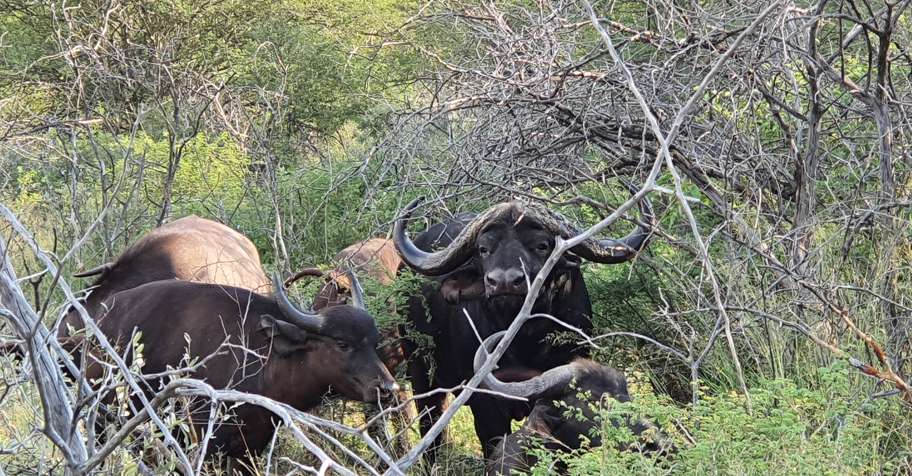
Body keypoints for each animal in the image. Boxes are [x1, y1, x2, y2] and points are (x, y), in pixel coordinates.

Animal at [87, 273, 398, 474]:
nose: (388, 388)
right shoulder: (205, 446)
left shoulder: (250, 450)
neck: (264, 362)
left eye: (375, 341)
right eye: (343, 343)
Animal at [392, 191, 654, 456]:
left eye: (541, 245)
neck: (525, 337)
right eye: (483, 249)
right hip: (420, 373)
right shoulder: (484, 403)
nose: (504, 282)